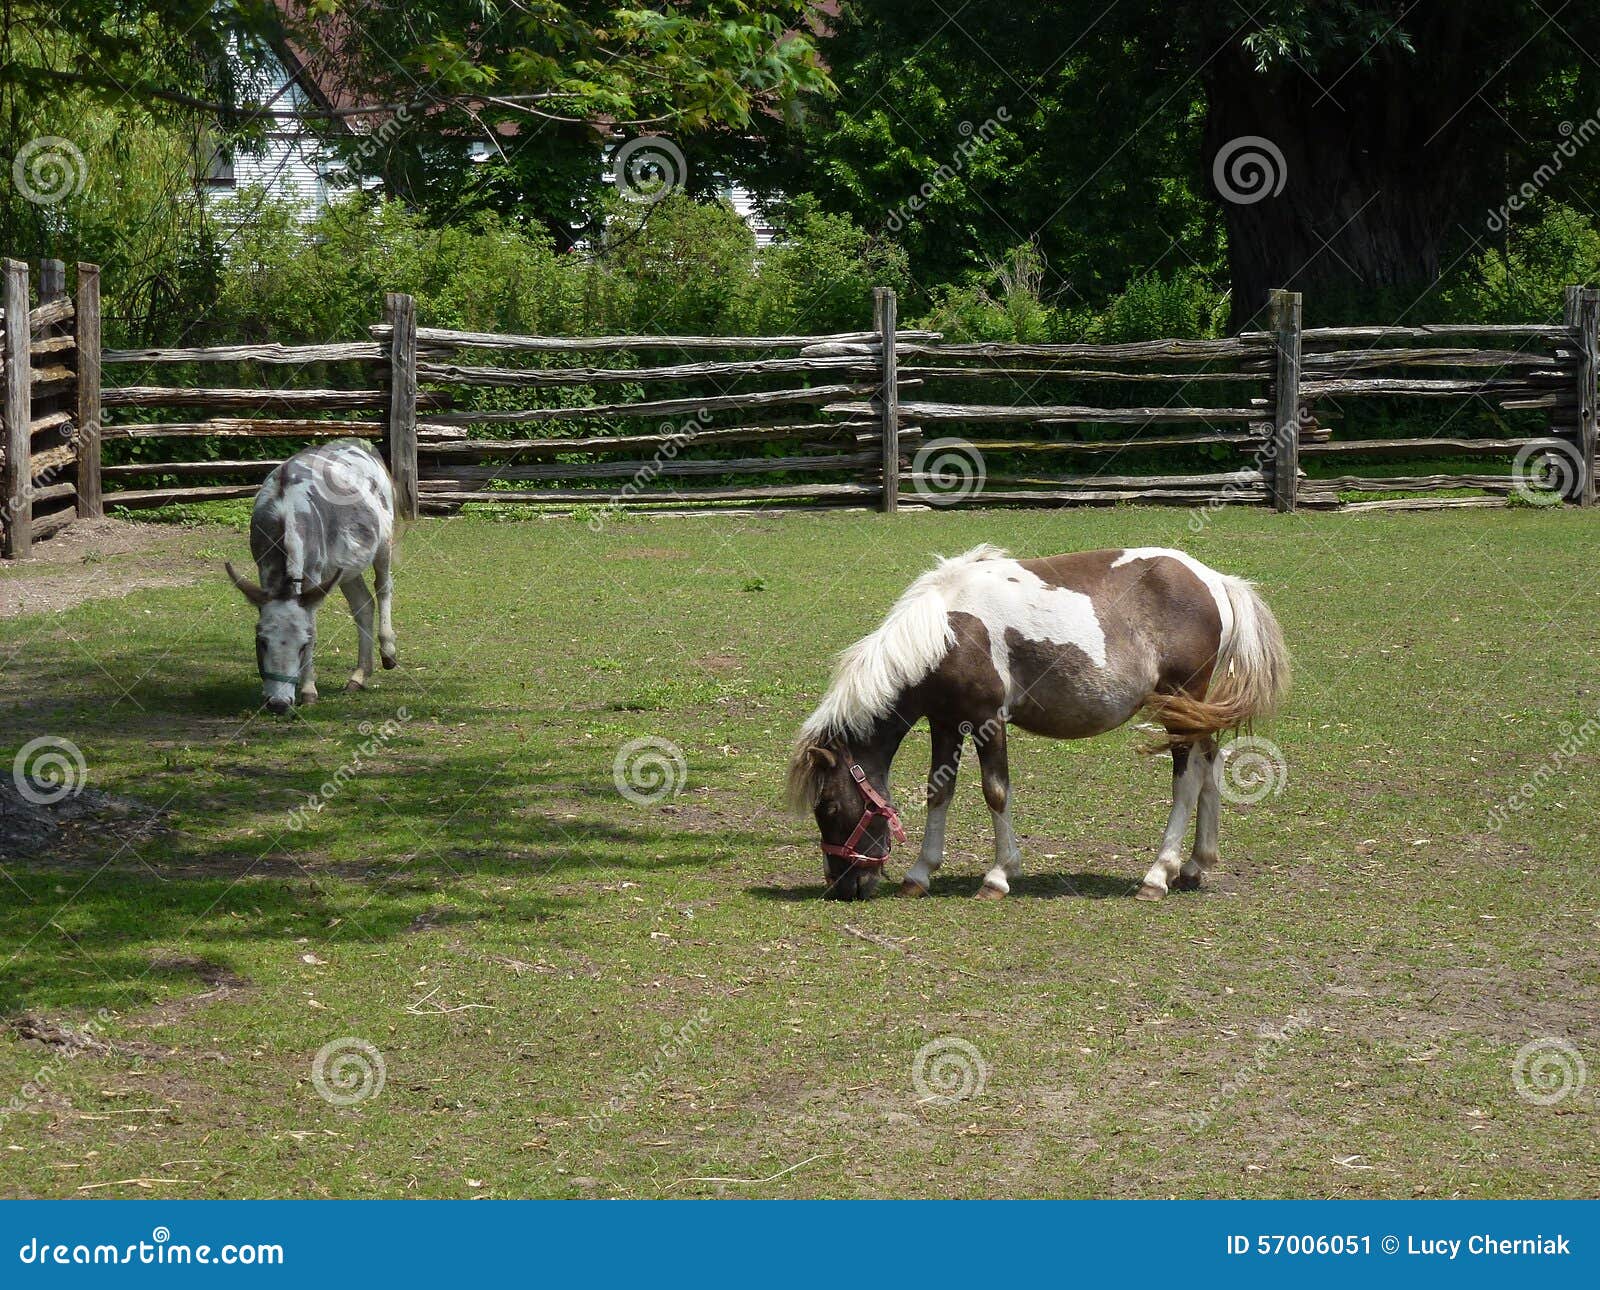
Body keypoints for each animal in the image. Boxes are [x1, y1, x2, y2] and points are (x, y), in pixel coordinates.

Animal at [225, 439, 398, 714]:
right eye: (261, 641)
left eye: (304, 646)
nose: (279, 704)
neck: (284, 510)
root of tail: (360, 443)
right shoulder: (264, 570)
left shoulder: (314, 576)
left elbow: (314, 627)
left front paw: (308, 691)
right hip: (347, 566)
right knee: (363, 604)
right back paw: (358, 677)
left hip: (383, 542)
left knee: (383, 587)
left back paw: (388, 652)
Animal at [787, 545, 1289, 902]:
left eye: (827, 806)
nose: (842, 887)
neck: (949, 631)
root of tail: (1216, 582)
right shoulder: (945, 721)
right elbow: (938, 791)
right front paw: (920, 874)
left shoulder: (987, 720)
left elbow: (995, 791)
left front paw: (997, 876)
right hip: (1194, 711)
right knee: (1211, 764)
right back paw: (1195, 866)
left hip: (1180, 702)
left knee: (1186, 779)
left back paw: (1158, 874)